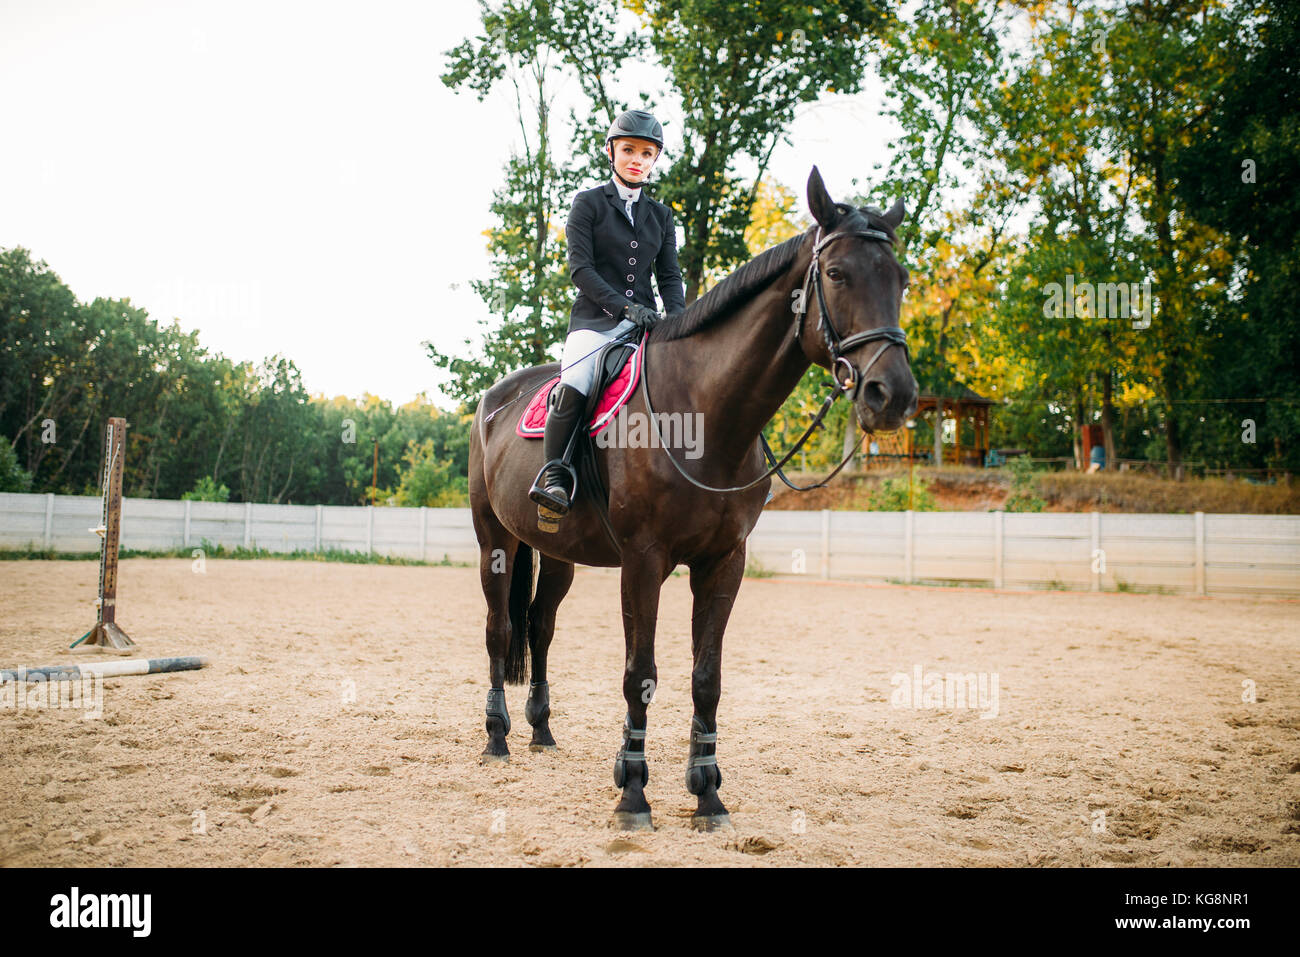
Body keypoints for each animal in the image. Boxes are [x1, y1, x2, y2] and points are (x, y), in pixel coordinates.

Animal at [468, 166, 918, 830]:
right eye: (837, 274)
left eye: (902, 280)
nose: (894, 395)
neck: (705, 414)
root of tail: (495, 397)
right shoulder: (643, 560)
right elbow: (640, 674)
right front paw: (633, 792)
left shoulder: (723, 561)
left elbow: (707, 677)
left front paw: (707, 792)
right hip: (494, 541)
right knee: (501, 629)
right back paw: (497, 737)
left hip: (557, 553)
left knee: (541, 627)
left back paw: (541, 732)